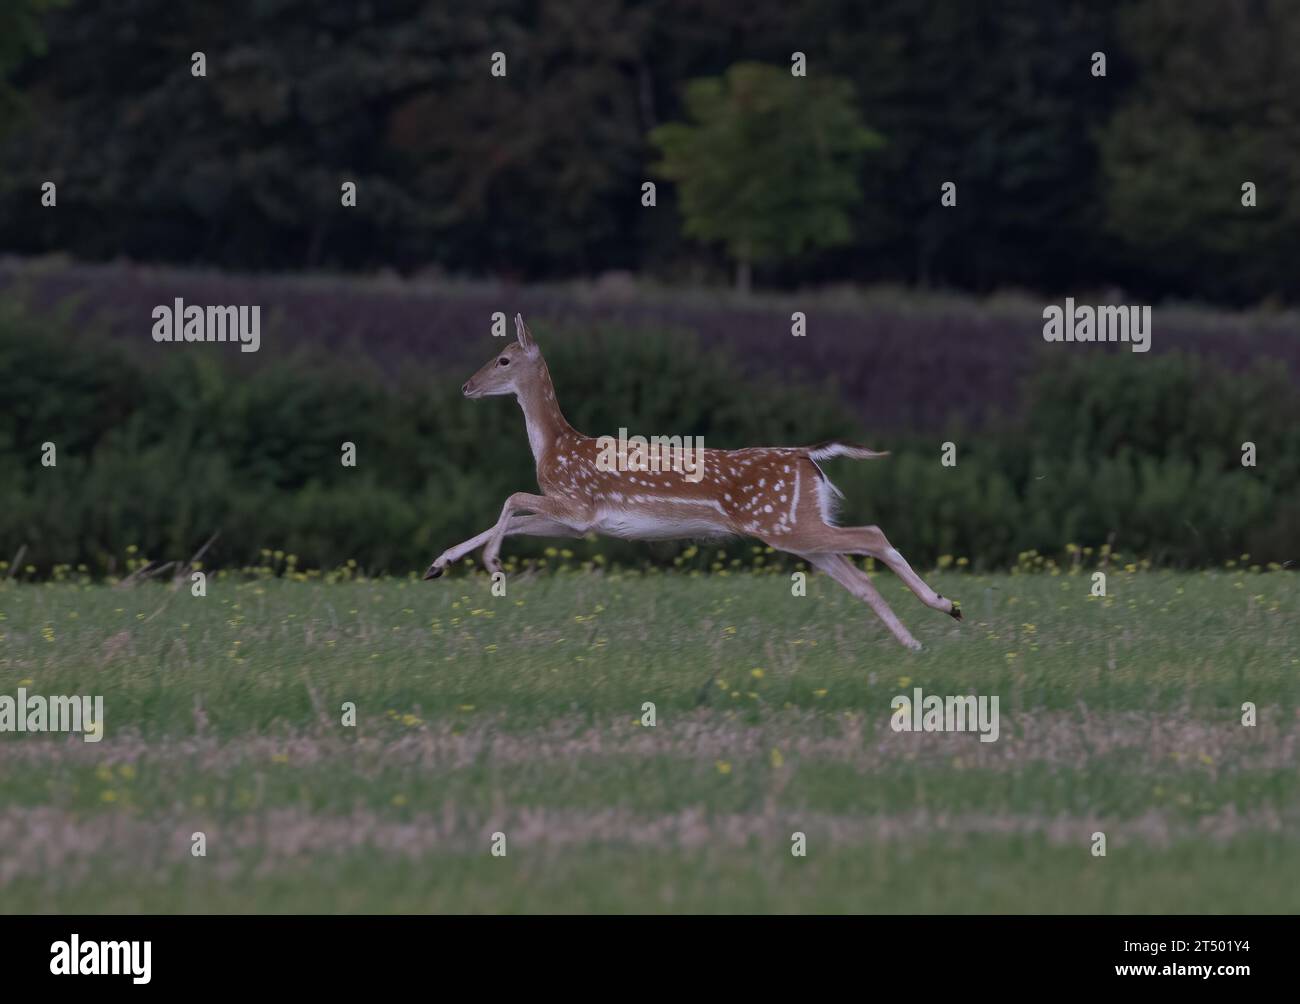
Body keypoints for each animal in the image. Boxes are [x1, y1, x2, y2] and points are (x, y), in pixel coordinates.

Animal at [423, 315, 961, 650]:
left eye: (504, 359)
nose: (466, 386)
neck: (556, 447)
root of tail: (807, 456)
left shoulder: (578, 503)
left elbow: (512, 497)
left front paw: (492, 563)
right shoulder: (580, 524)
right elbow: (514, 519)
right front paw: (439, 565)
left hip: (782, 523)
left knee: (872, 535)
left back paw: (945, 605)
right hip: (797, 528)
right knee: (860, 578)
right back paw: (915, 640)